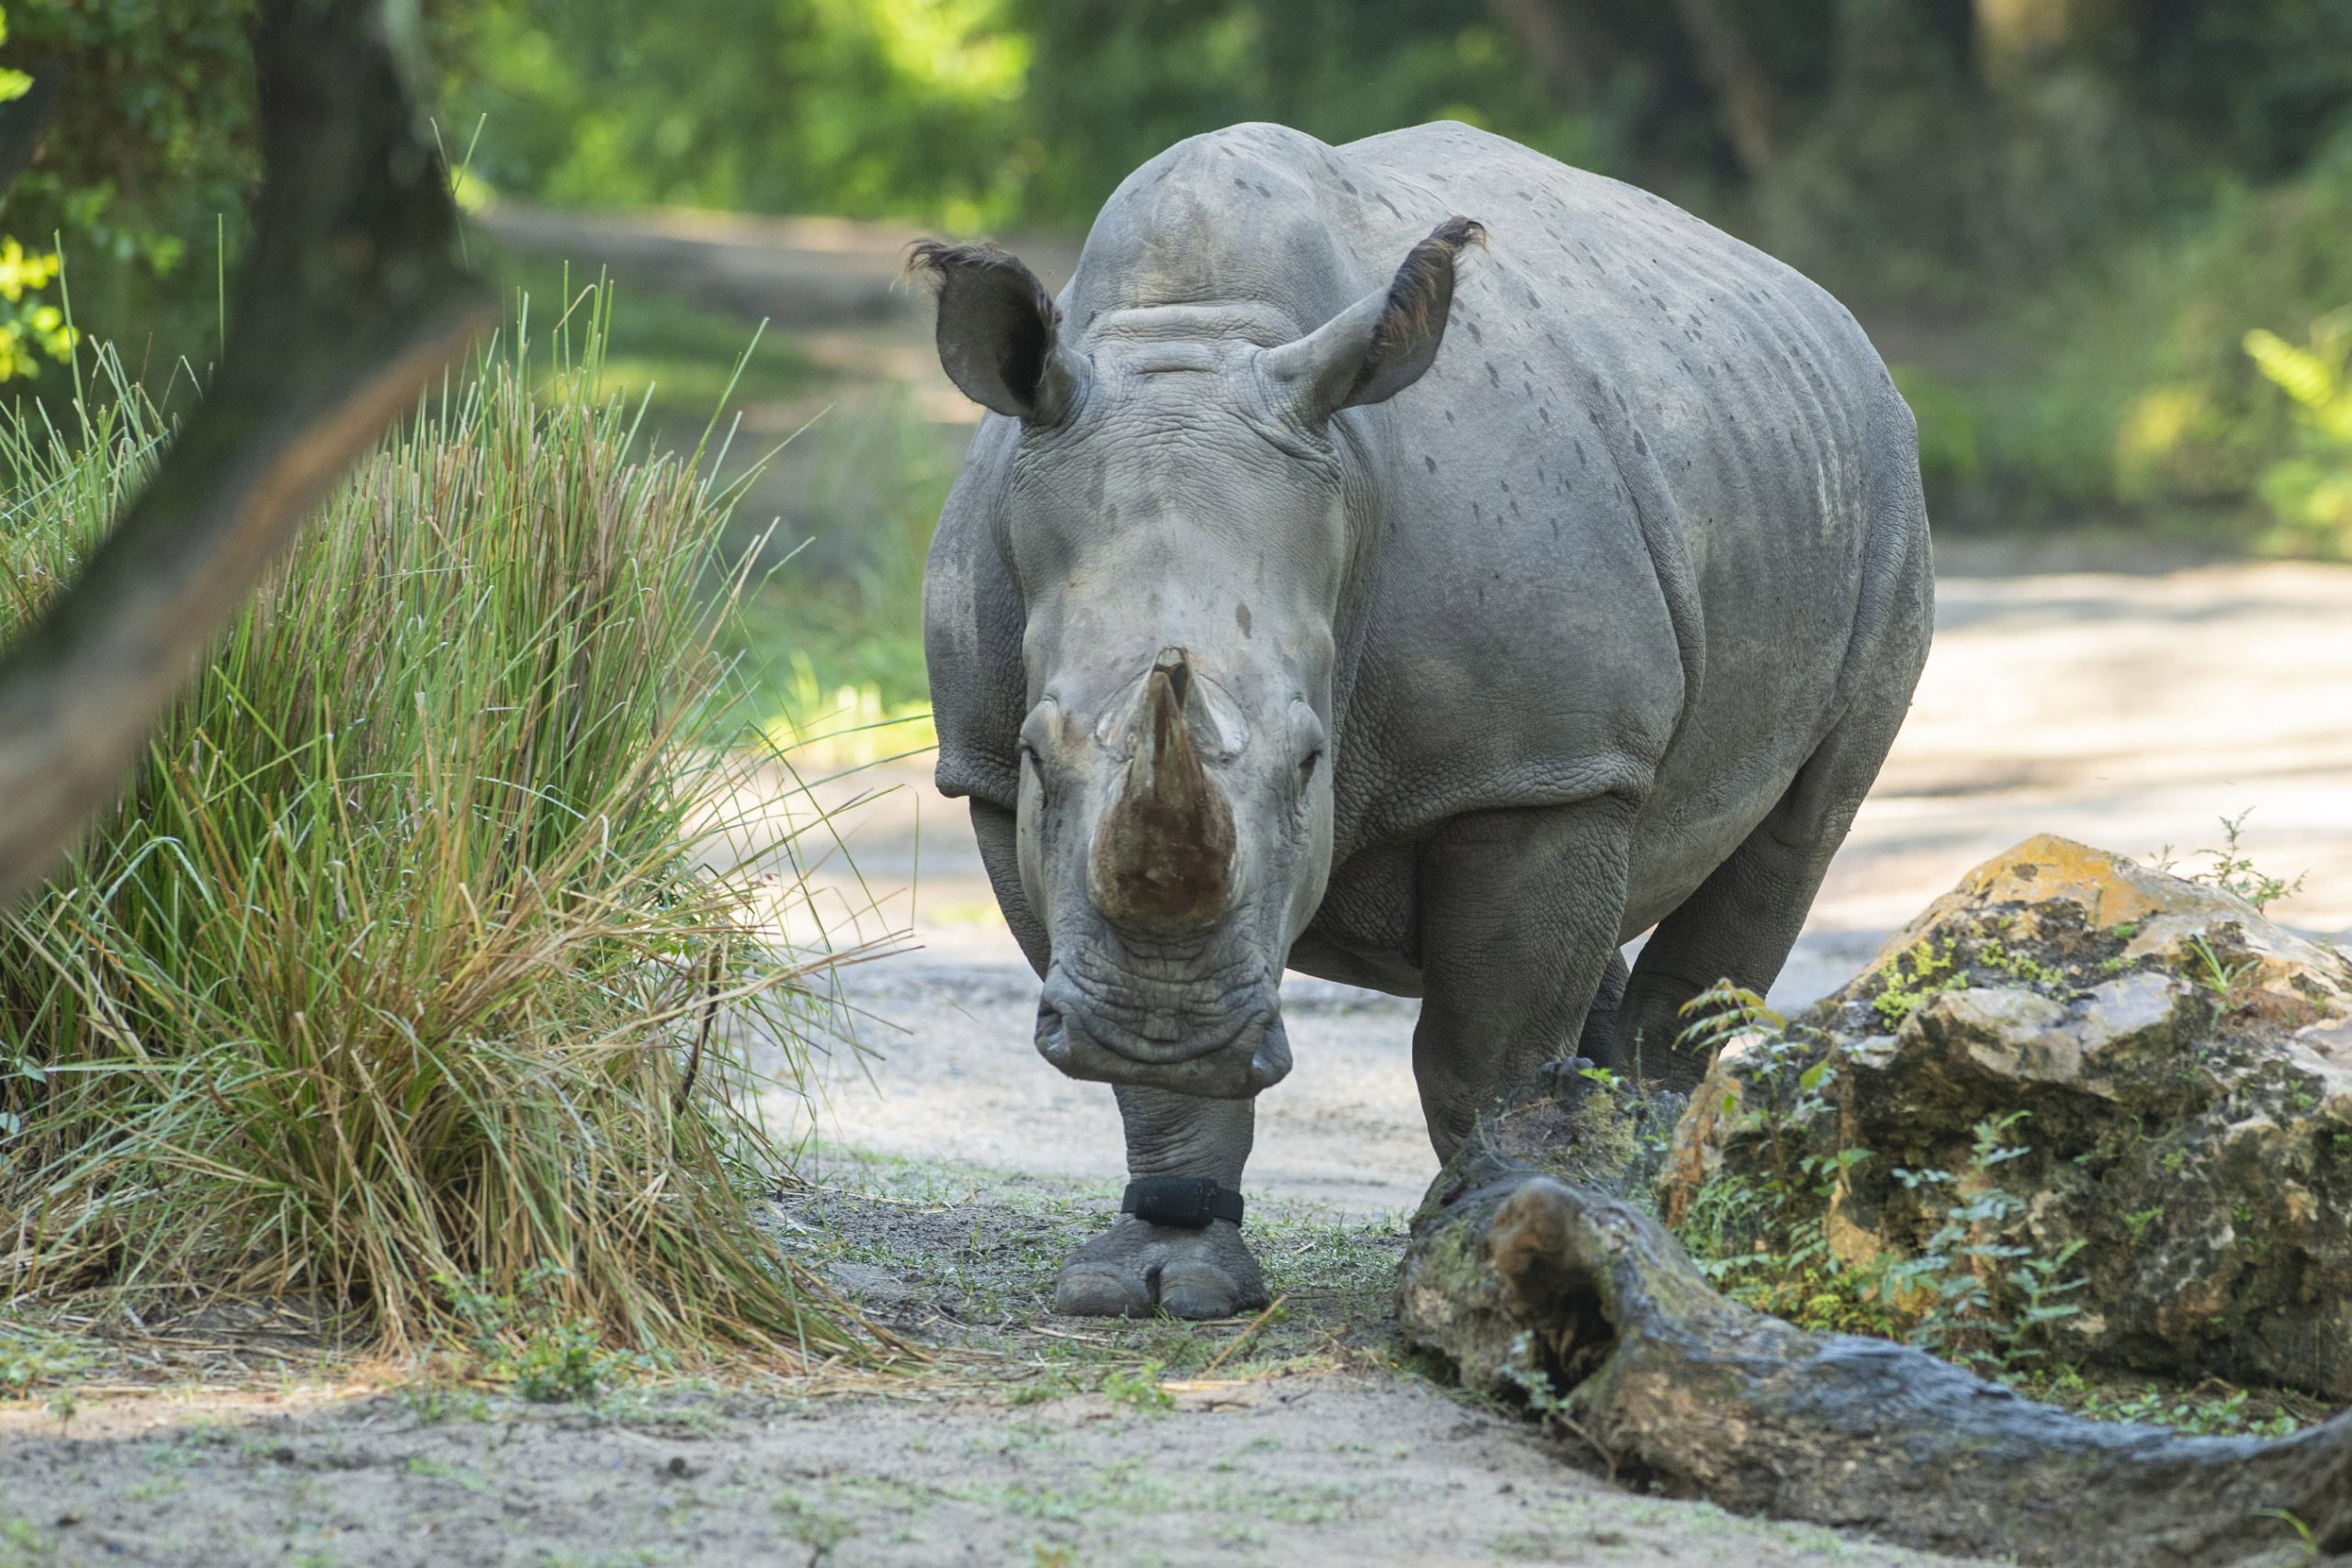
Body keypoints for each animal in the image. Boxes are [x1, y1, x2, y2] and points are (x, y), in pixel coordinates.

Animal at [912, 121, 1932, 1319]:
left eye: (1311, 763)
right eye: (1039, 752)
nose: (1164, 1029)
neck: (1196, 337)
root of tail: (1826, 309)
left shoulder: (1534, 770)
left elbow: (1483, 1040)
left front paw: (1496, 1238)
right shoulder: (983, 772)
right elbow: (1143, 1073)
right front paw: (1159, 1269)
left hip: (1884, 483)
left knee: (1795, 837)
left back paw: (1664, 1186)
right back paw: (1618, 1158)